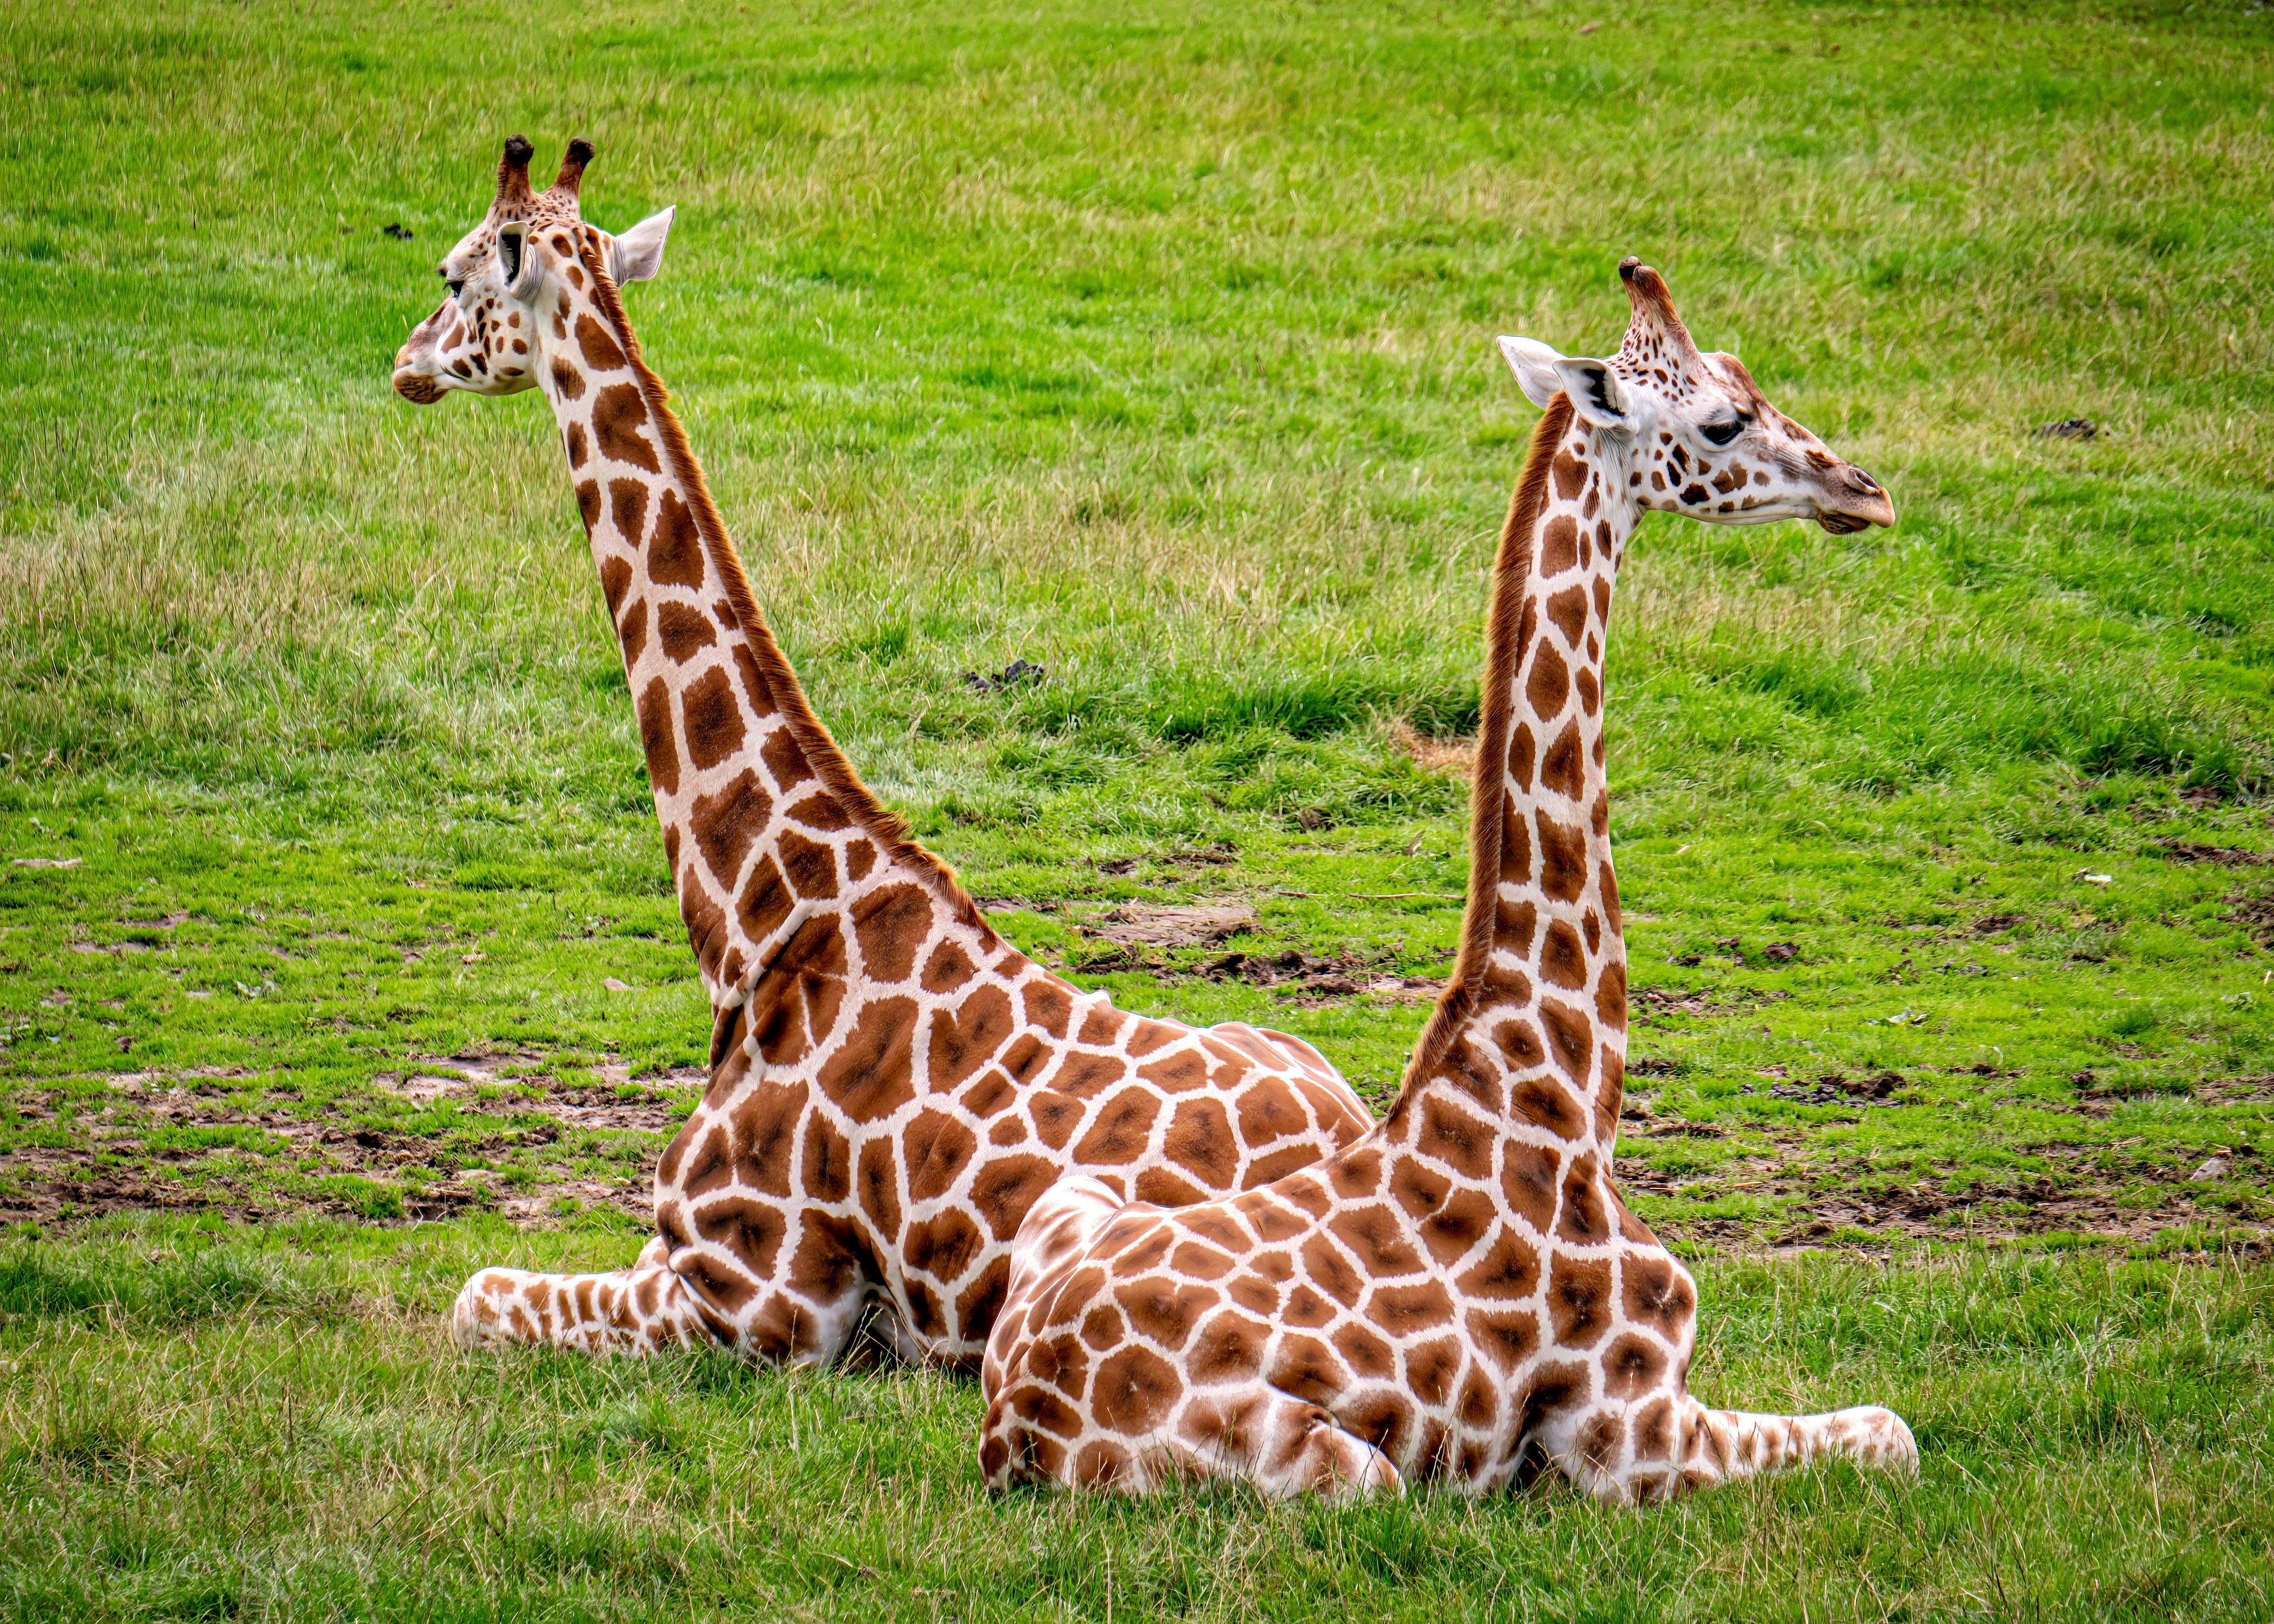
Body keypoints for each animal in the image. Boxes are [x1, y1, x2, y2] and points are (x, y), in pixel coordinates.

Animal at [979, 258, 1917, 1503]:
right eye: (1723, 418)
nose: (1865, 492)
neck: (1560, 1087)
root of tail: (1017, 1432)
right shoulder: (1629, 1432)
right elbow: (1898, 1430)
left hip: (1075, 1204)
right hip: (1356, 1473)